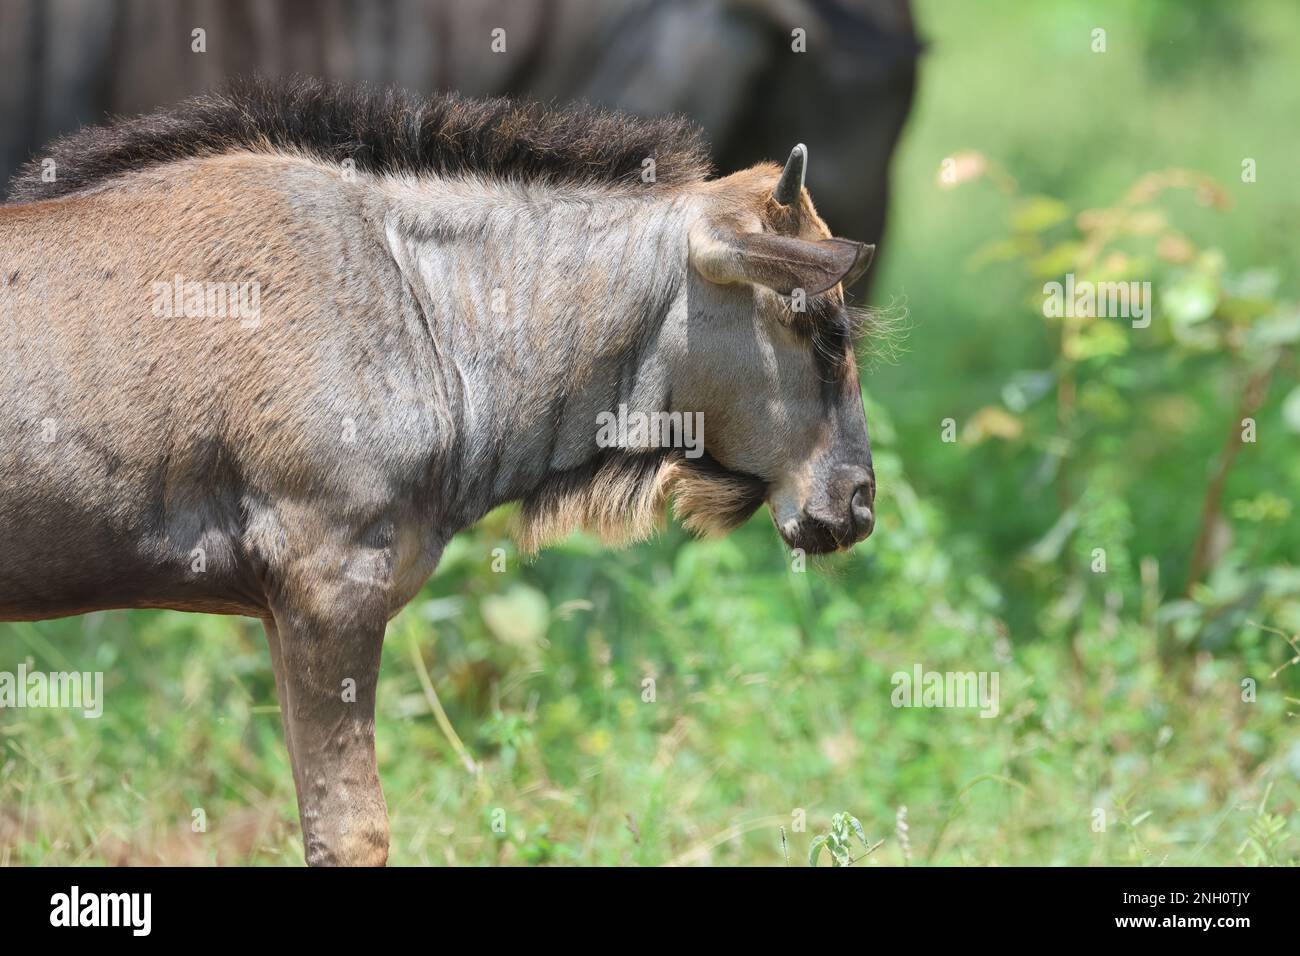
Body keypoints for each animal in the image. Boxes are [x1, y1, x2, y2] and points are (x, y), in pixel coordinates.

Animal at [0, 78, 877, 865]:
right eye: (823, 325)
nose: (858, 501)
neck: (426, 303)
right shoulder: (329, 583)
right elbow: (351, 834)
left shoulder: (283, 608)